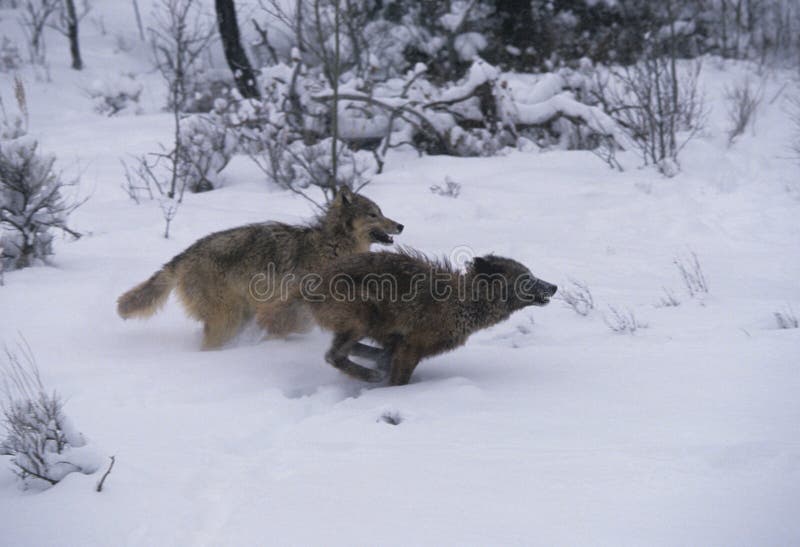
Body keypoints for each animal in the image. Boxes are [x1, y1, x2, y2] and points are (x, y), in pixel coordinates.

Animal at [117, 187, 403, 348]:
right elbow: (288, 324)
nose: (400, 225)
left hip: (238, 315)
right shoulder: (284, 303)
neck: (333, 246)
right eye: (374, 214)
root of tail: (183, 255)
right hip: (229, 318)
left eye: (381, 212)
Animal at [280, 249, 557, 385]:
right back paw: (370, 376)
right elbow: (398, 380)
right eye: (527, 278)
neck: (463, 302)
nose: (554, 287)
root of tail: (310, 283)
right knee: (333, 355)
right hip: (361, 316)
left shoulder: (399, 344)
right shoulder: (411, 348)